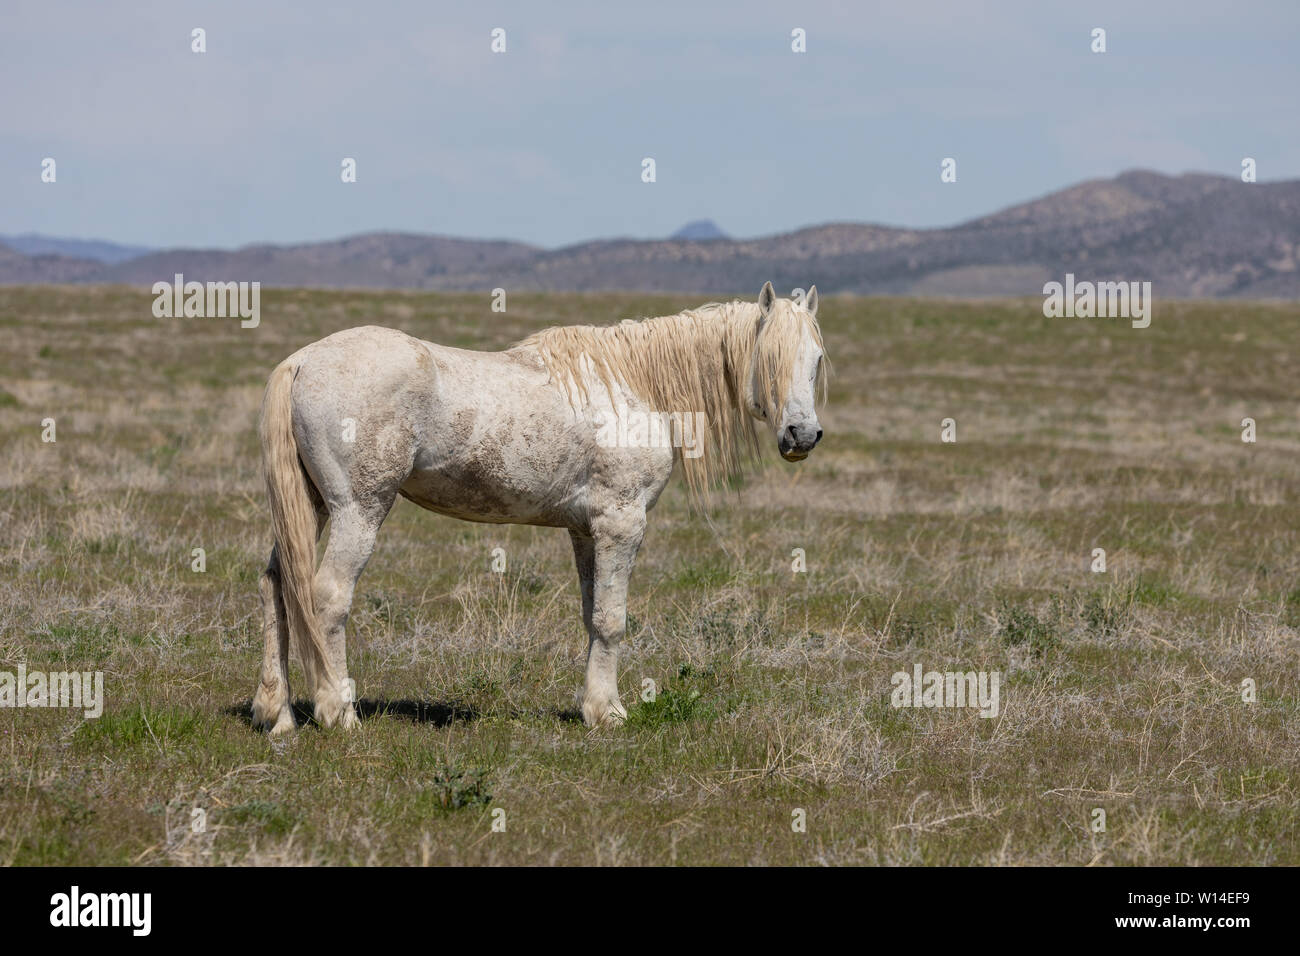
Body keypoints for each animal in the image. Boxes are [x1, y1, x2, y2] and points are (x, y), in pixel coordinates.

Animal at [250, 281, 827, 733]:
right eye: (770, 358)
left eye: (816, 361)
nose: (803, 435)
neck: (634, 385)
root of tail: (302, 361)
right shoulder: (622, 524)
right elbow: (613, 620)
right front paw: (611, 713)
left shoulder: (586, 531)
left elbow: (593, 615)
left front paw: (593, 707)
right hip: (359, 509)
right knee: (326, 596)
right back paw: (338, 712)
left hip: (313, 508)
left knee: (278, 583)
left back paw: (277, 713)